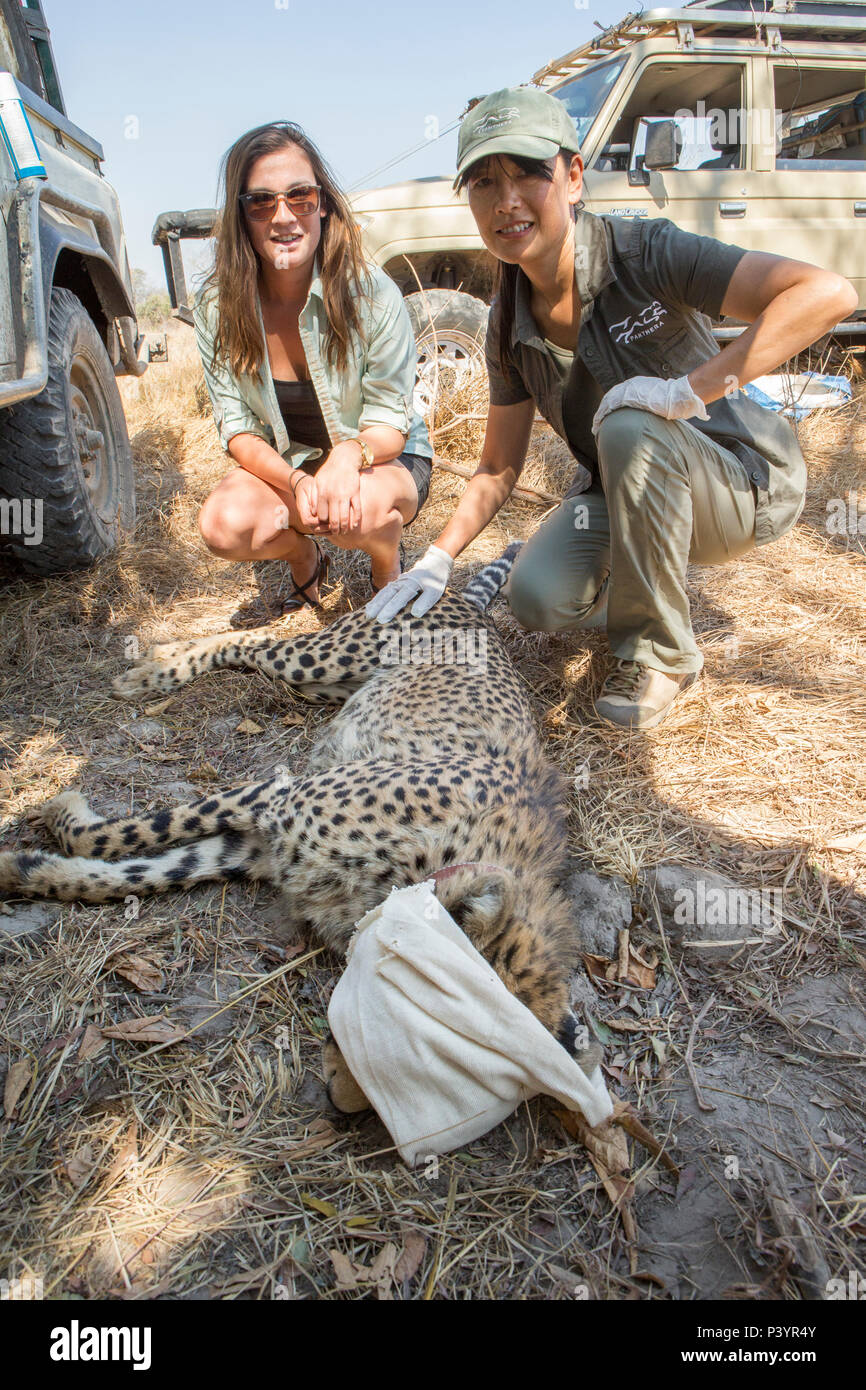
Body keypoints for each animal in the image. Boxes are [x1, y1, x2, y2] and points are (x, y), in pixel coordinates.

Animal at [0, 545, 600, 1112]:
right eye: (403, 1014)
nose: (338, 1101)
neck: (421, 867)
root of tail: (470, 607)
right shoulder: (277, 796)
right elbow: (123, 833)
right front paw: (60, 814)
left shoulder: (254, 848)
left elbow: (134, 869)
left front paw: (24, 868)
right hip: (325, 659)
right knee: (253, 639)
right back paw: (151, 668)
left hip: (331, 689)